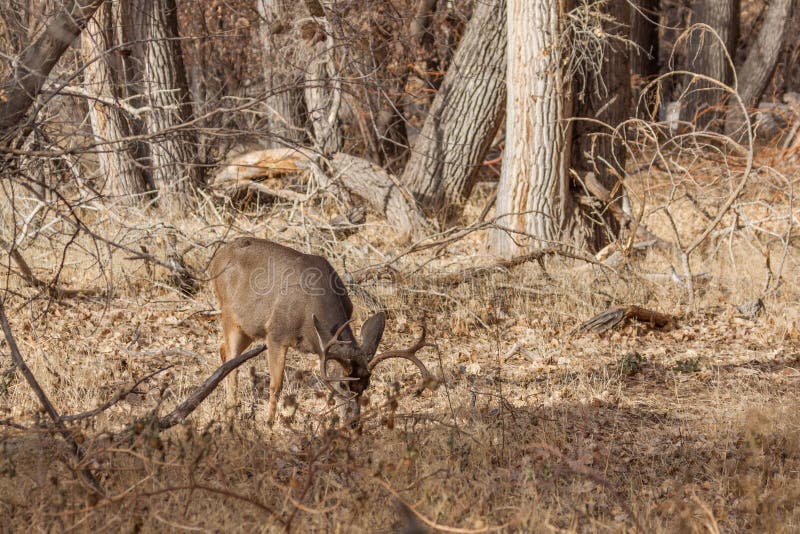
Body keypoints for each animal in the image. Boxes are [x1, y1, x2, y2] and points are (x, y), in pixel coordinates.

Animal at [209, 237, 432, 425]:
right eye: (343, 385)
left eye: (366, 385)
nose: (353, 422)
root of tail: (218, 255)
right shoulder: (276, 334)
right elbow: (276, 385)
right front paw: (269, 423)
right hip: (229, 314)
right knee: (231, 359)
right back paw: (232, 413)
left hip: (247, 327)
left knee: (223, 351)